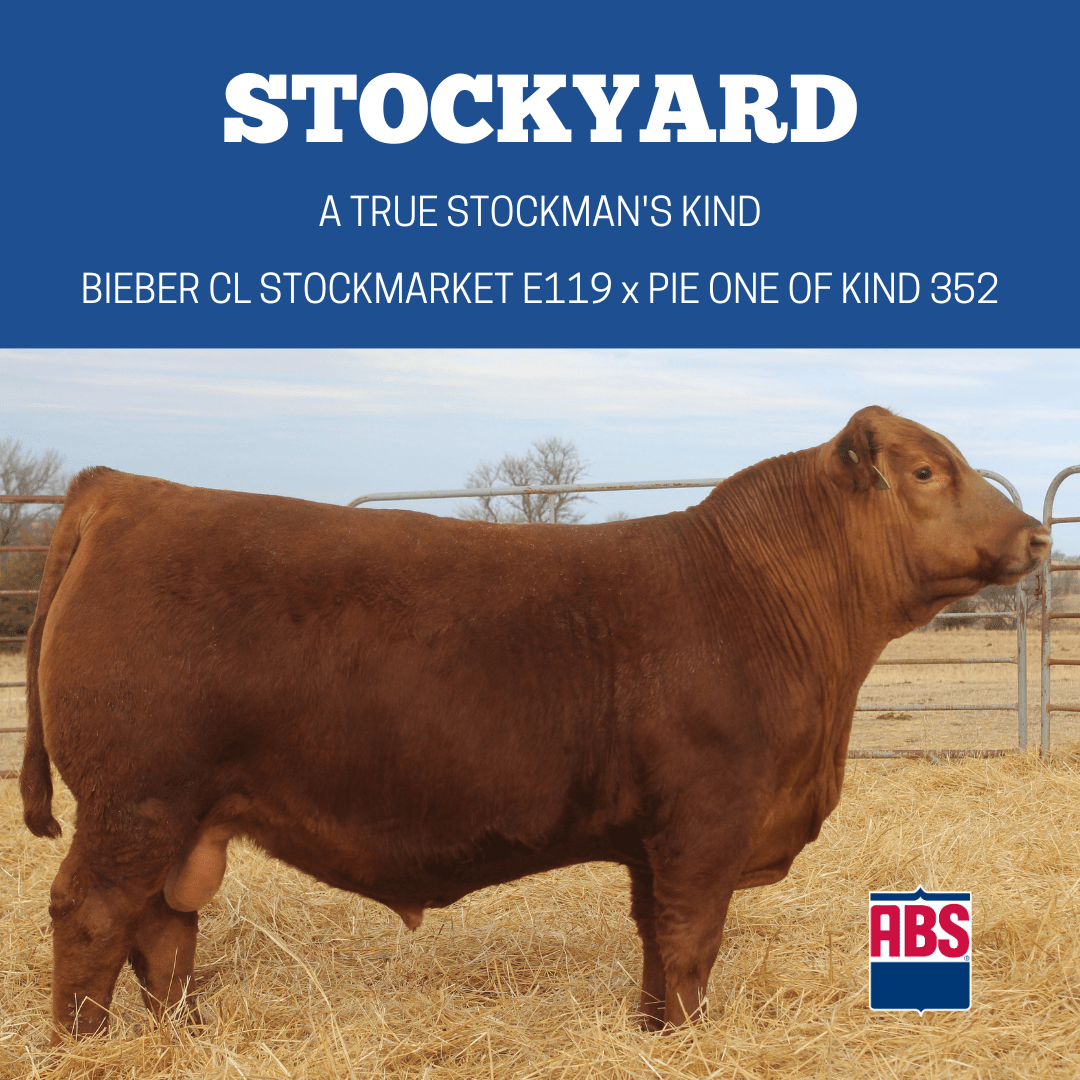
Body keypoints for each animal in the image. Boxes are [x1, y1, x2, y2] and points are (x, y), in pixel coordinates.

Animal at [20, 406, 1048, 1039]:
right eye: (927, 470)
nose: (1039, 535)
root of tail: (126, 489)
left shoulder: (657, 841)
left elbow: (656, 940)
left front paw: (650, 1032)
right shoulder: (707, 820)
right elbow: (692, 941)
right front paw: (687, 1036)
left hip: (178, 815)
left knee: (162, 927)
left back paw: (183, 1036)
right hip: (135, 798)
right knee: (93, 912)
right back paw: (86, 1044)